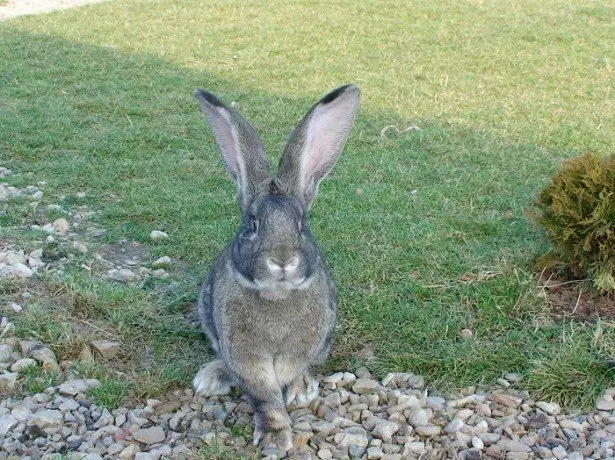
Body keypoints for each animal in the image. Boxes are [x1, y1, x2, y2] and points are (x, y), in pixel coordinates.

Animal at [190, 84, 358, 452]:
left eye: (302, 224)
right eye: (252, 224)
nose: (282, 259)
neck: (278, 296)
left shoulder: (302, 348)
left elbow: (291, 374)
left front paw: (298, 392)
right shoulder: (247, 357)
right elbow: (265, 397)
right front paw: (274, 436)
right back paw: (210, 378)